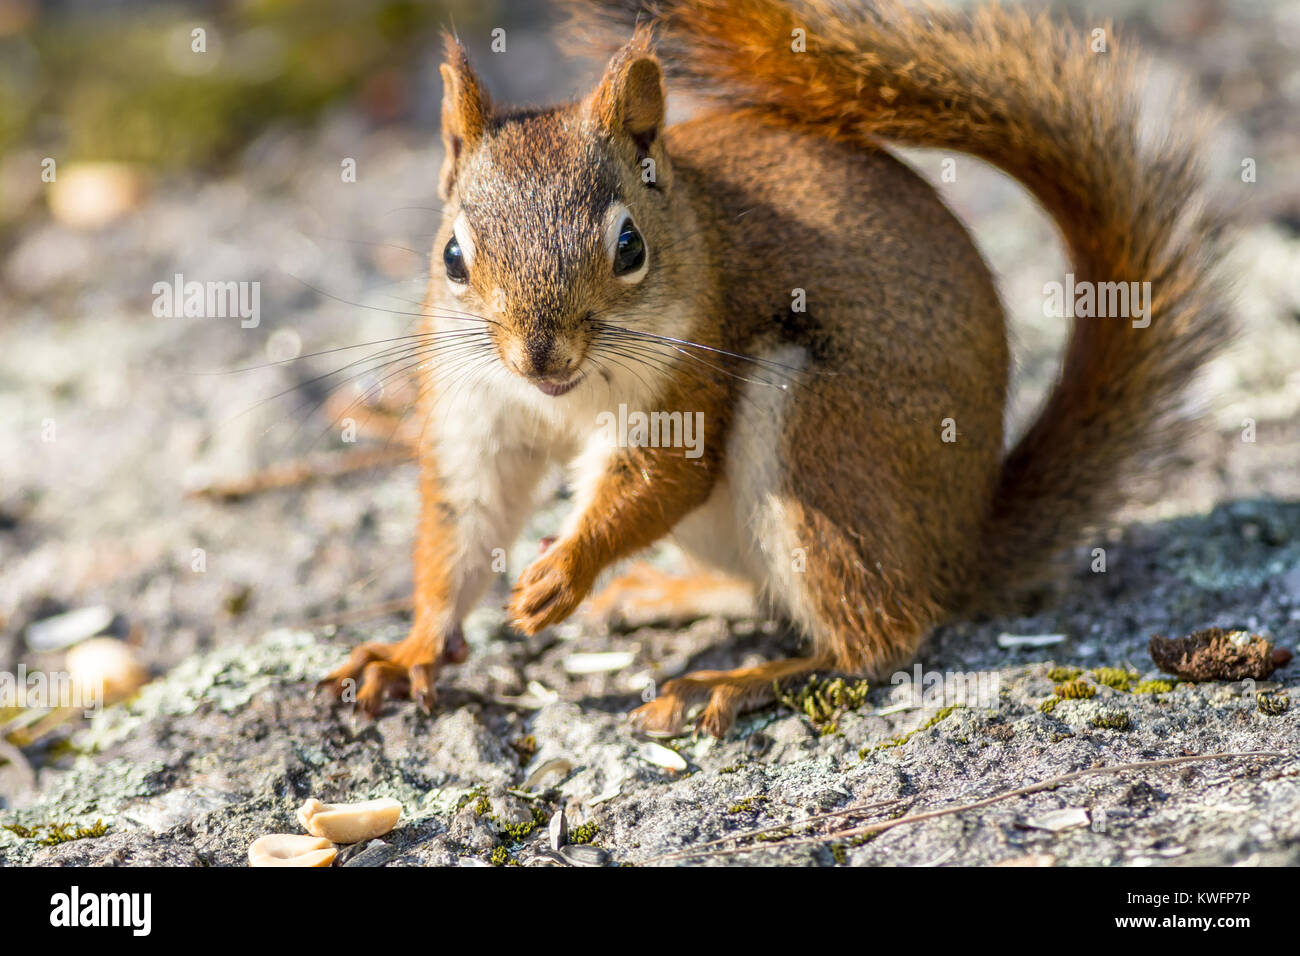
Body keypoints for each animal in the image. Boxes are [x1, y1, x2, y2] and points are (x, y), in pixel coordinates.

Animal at [319, 0, 1228, 736]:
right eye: (452, 256)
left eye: (629, 246)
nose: (541, 354)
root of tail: (962, 545)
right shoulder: (476, 405)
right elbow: (461, 523)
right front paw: (409, 651)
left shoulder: (691, 374)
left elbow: (660, 479)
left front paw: (560, 573)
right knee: (770, 592)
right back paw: (661, 596)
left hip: (816, 443)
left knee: (881, 636)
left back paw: (733, 679)